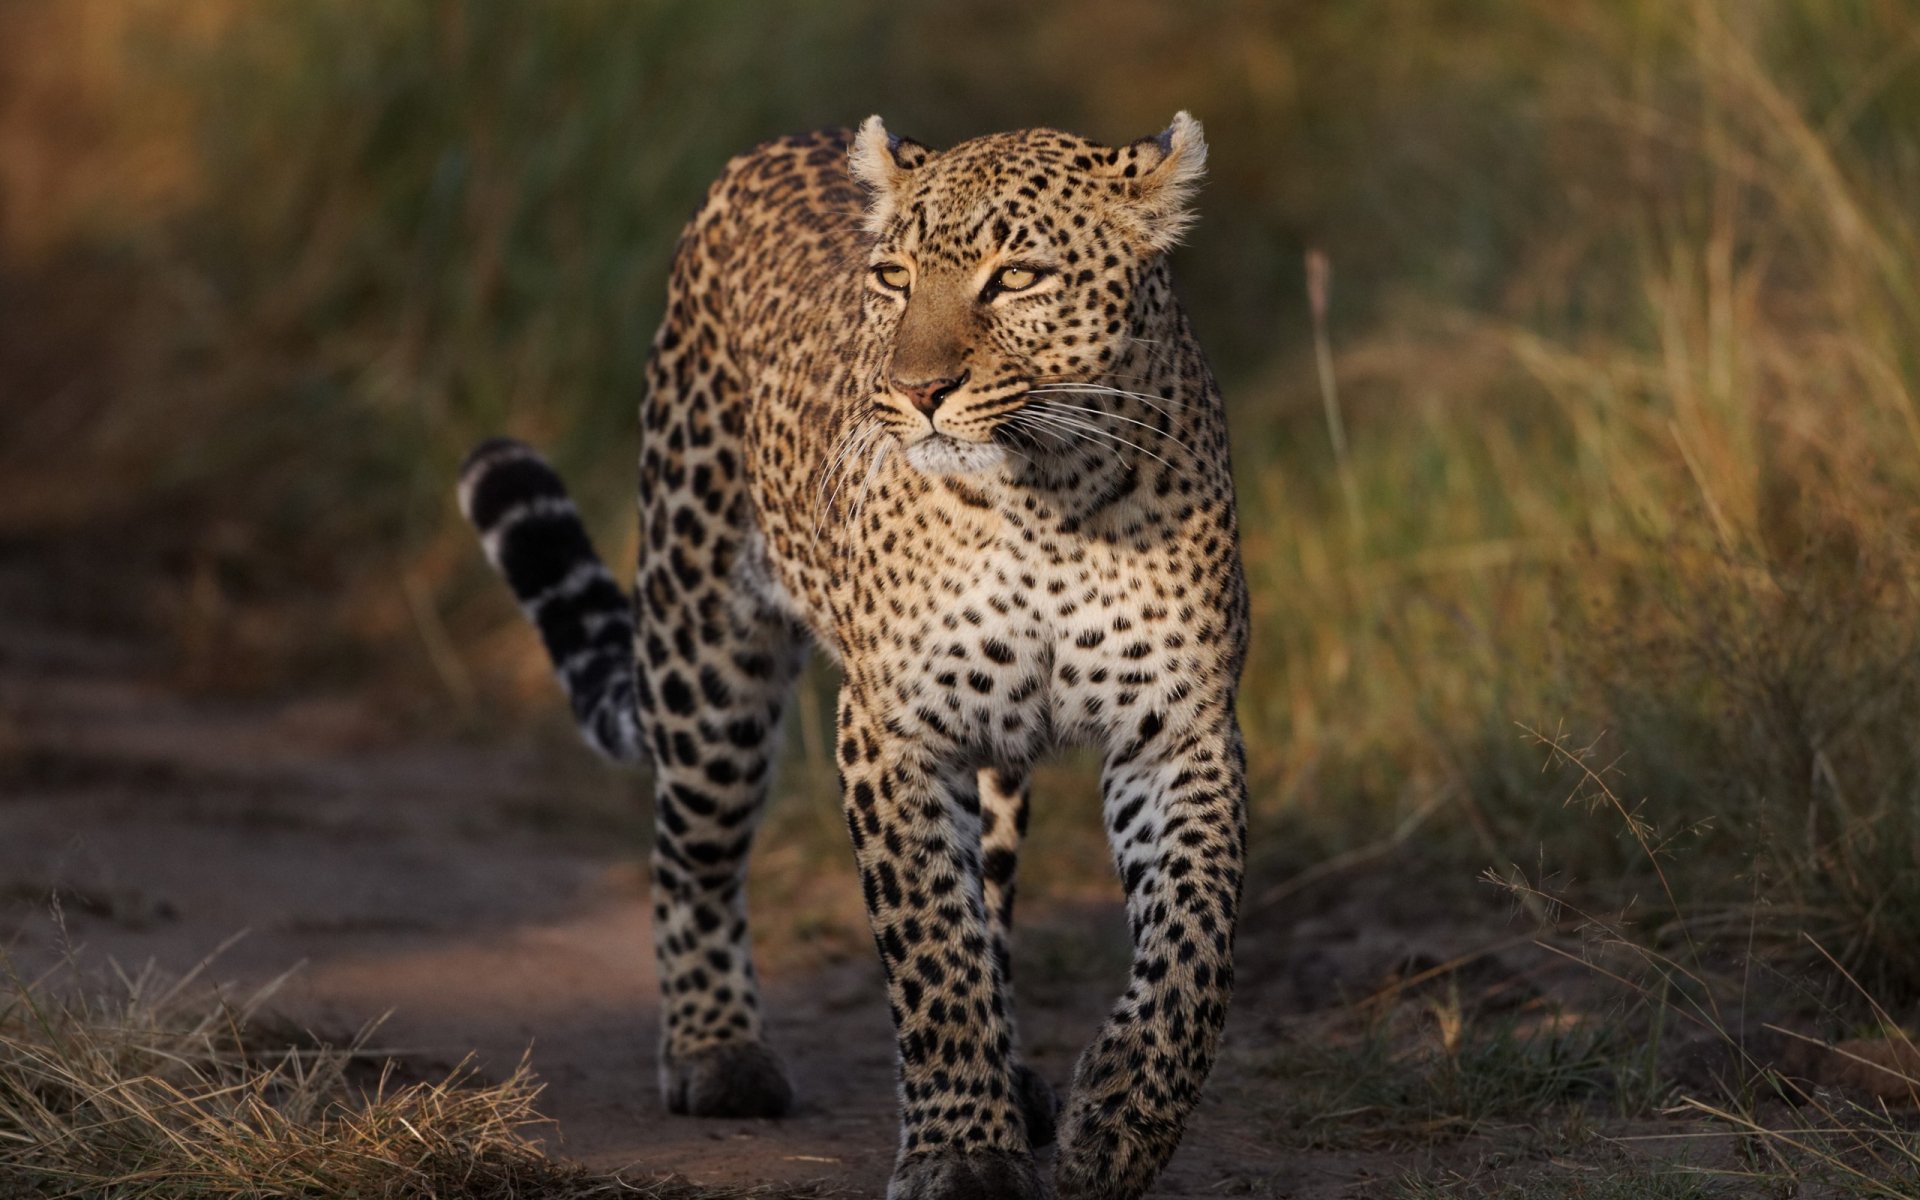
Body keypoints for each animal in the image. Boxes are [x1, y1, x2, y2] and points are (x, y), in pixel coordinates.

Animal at [458, 112, 1249, 1200]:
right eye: (894, 276)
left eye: (1016, 276)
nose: (916, 393)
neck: (1052, 495)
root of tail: (778, 142)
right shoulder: (895, 727)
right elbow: (932, 948)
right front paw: (963, 1151)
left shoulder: (1180, 727)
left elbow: (1191, 947)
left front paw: (1121, 1121)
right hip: (705, 659)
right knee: (693, 855)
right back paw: (717, 1050)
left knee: (993, 893)